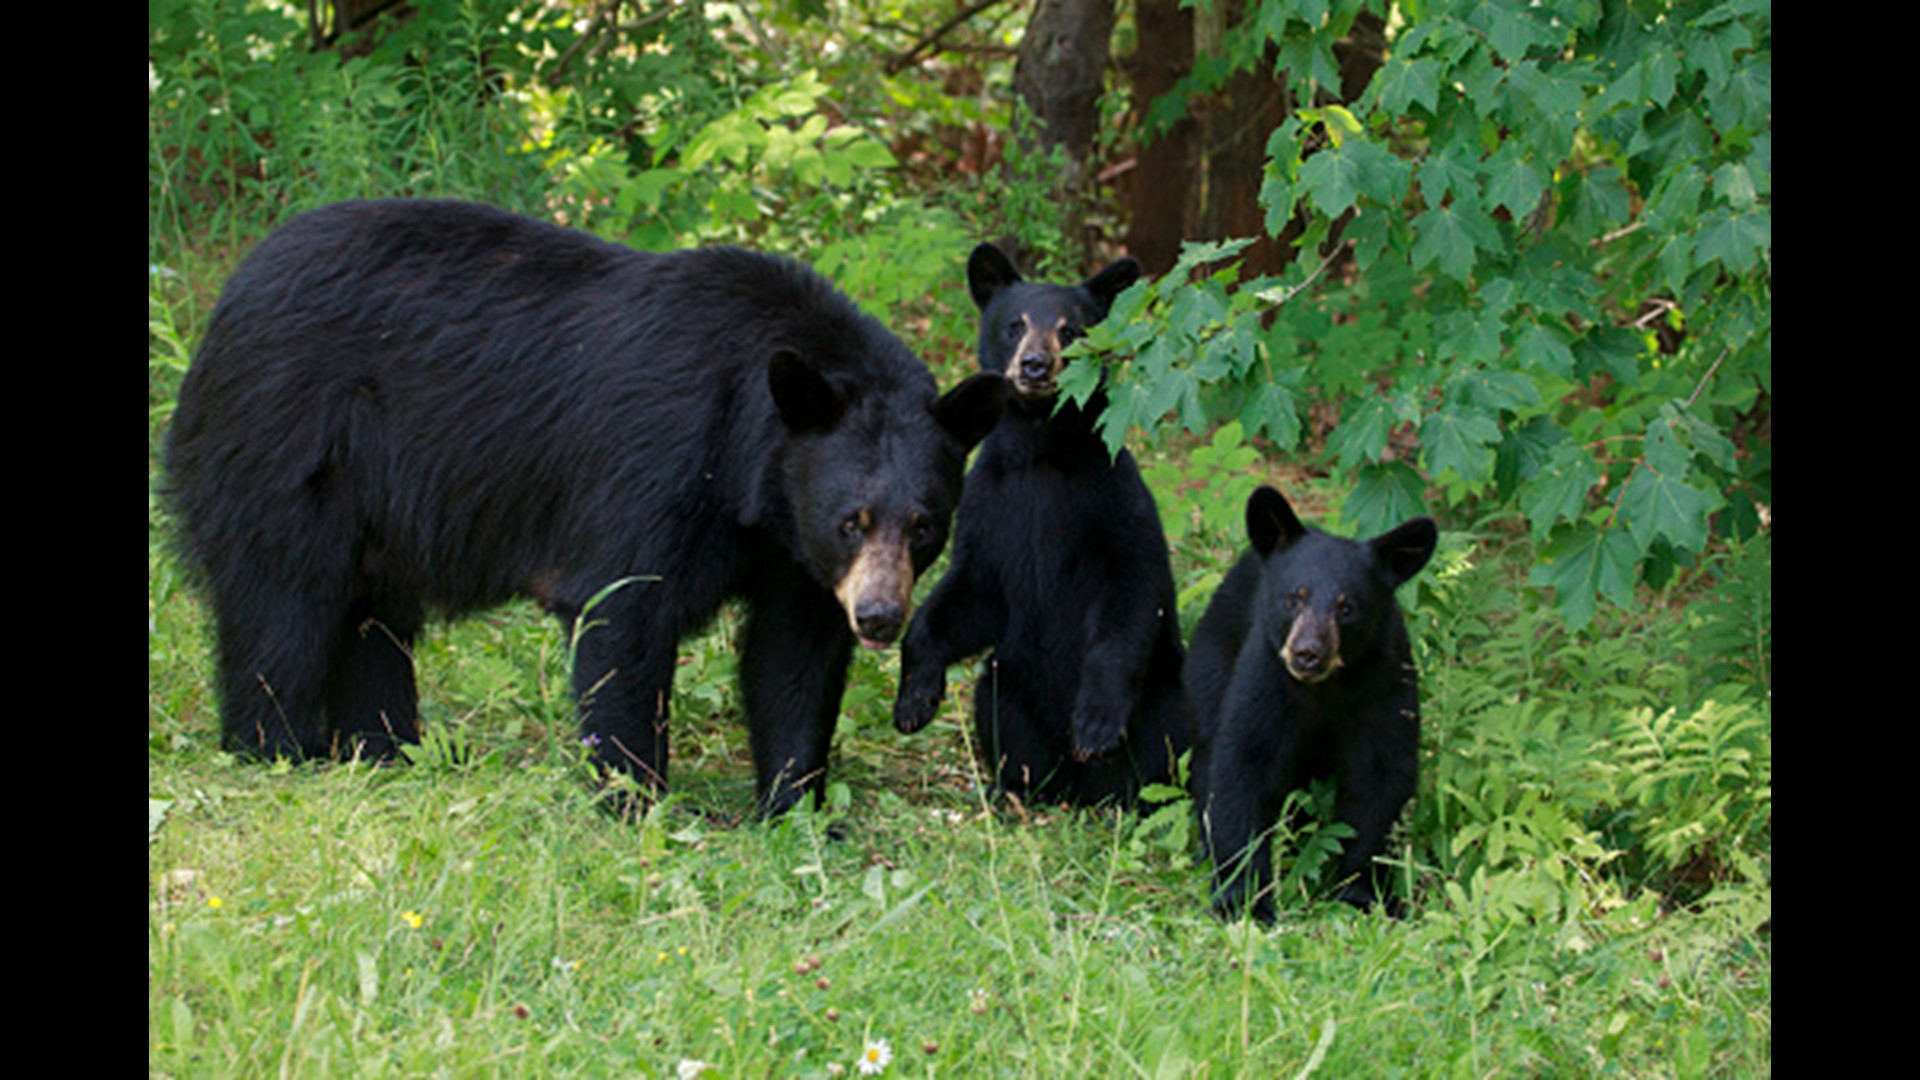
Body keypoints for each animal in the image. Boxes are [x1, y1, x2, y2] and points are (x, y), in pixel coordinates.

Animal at [164, 199, 1006, 817]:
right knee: (283, 605)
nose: (879, 617)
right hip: (285, 448)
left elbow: (792, 658)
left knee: (371, 623)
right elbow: (621, 613)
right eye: (851, 520)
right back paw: (280, 747)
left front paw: (795, 806)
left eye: (924, 525)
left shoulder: (788, 548)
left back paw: (390, 747)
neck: (748, 467)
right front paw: (637, 796)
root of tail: (226, 299)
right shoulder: (653, 463)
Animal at [891, 242, 1188, 807]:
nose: (1034, 365)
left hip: (1163, 699)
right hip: (1013, 685)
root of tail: (1081, 792)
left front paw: (1095, 723)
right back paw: (1016, 790)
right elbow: (969, 593)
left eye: (1070, 330)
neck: (1039, 453)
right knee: (999, 705)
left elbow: (1133, 590)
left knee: (1165, 746)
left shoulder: (1113, 500)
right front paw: (914, 698)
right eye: (1015, 325)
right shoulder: (988, 505)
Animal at [1188, 484, 1437, 923]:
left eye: (1347, 606)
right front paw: (1243, 899)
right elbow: (1243, 762)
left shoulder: (1386, 680)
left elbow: (1380, 775)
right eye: (1294, 598)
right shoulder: (1267, 676)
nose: (1308, 653)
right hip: (1209, 666)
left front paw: (1362, 892)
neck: (1327, 688)